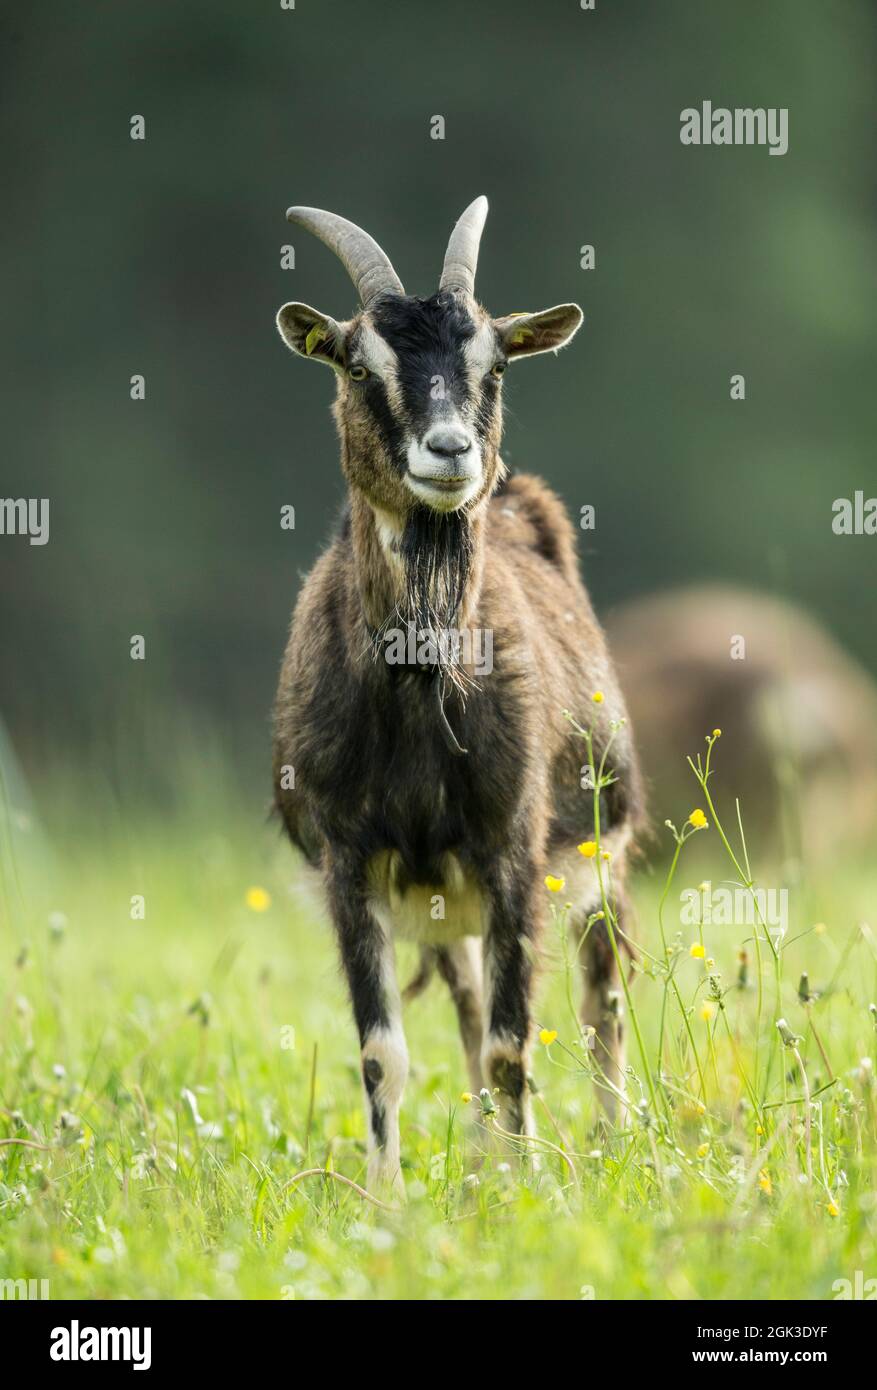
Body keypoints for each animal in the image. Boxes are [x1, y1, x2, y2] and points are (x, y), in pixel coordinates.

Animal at [273, 198, 643, 1193]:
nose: (451, 451)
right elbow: (385, 1053)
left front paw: (524, 1192)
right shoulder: (350, 861)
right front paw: (389, 1200)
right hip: (448, 907)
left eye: (496, 361)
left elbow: (518, 1046)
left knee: (601, 1001)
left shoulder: (513, 852)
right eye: (359, 363)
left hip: (602, 853)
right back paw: (480, 1162)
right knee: (473, 1012)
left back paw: (606, 1146)